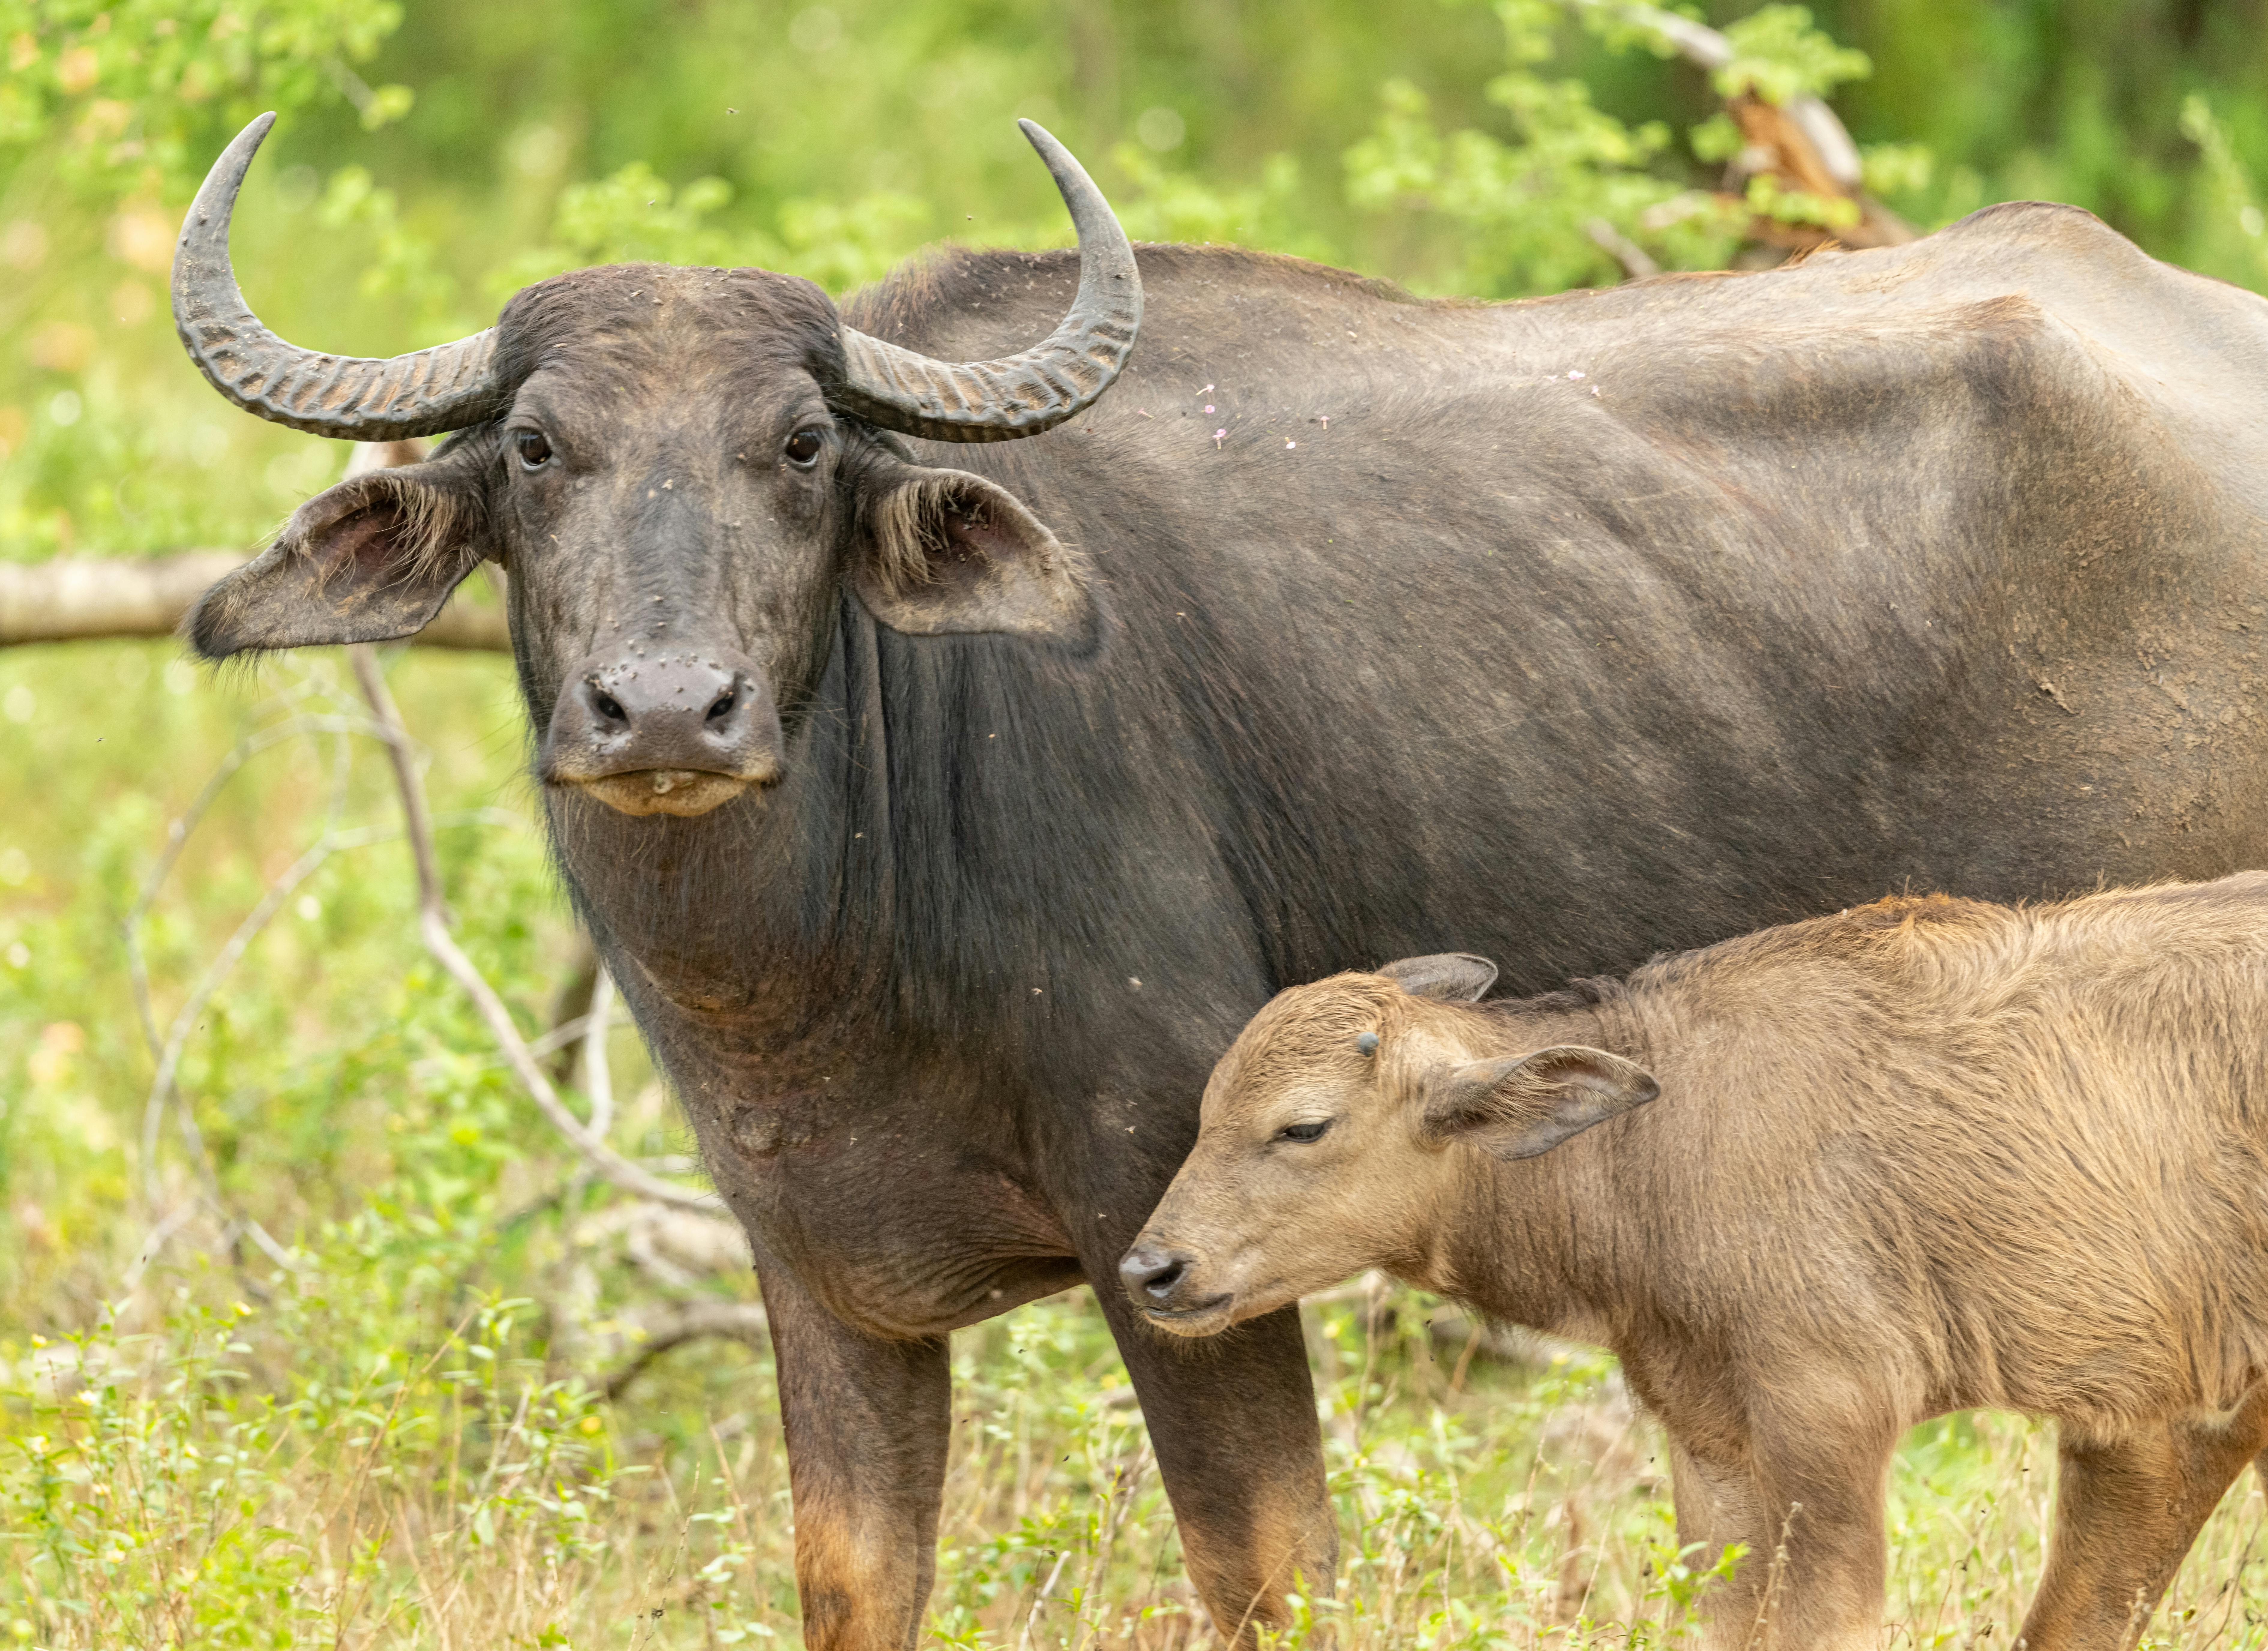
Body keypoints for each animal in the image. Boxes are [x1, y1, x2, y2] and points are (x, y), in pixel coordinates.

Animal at [1122, 876, 2268, 1651]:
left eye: (1302, 1126)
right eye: (1208, 1107)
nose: (1151, 1270)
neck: (1657, 1139)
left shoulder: (1829, 1424)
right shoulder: (1713, 1442)